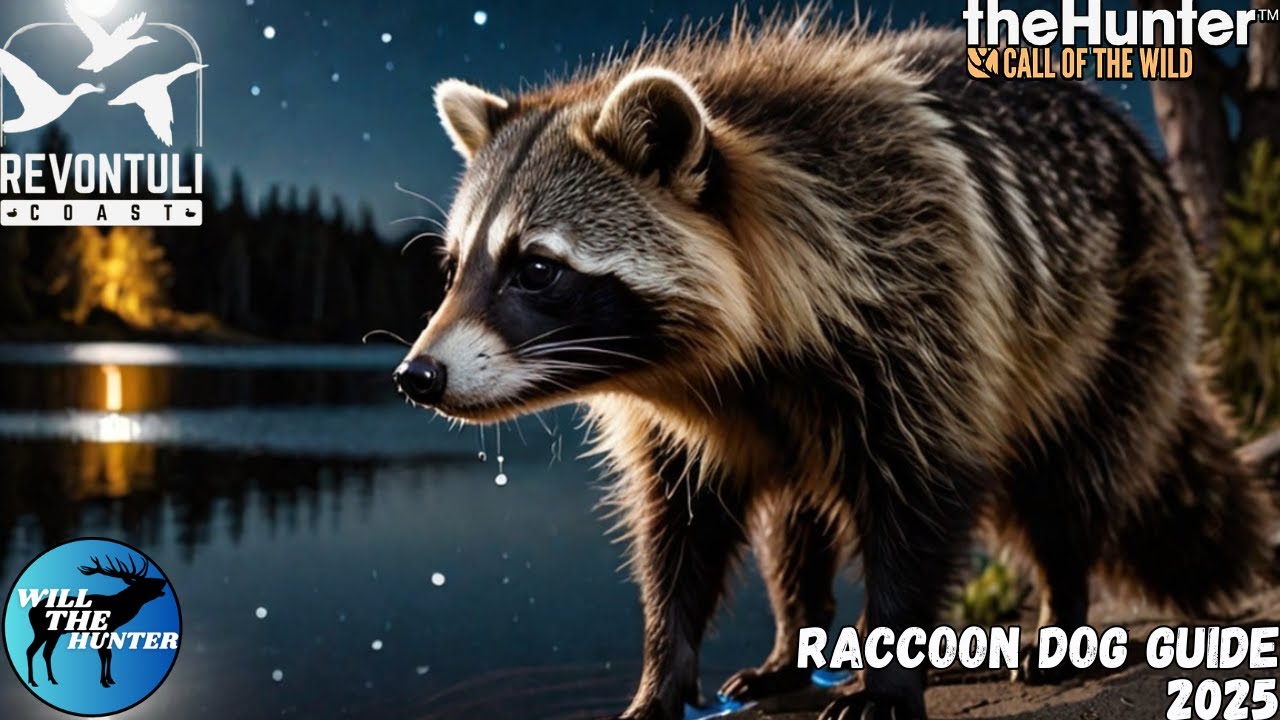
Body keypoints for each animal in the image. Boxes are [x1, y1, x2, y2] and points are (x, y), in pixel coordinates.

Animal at [394, 11, 1278, 720]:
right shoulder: (694, 413)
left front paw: (888, 672)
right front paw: (662, 674)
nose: (416, 377)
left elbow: (923, 493)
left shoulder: (923, 295)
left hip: (1127, 316)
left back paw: (1061, 613)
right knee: (796, 522)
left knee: (1072, 483)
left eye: (537, 269)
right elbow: (679, 527)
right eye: (455, 266)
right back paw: (794, 645)